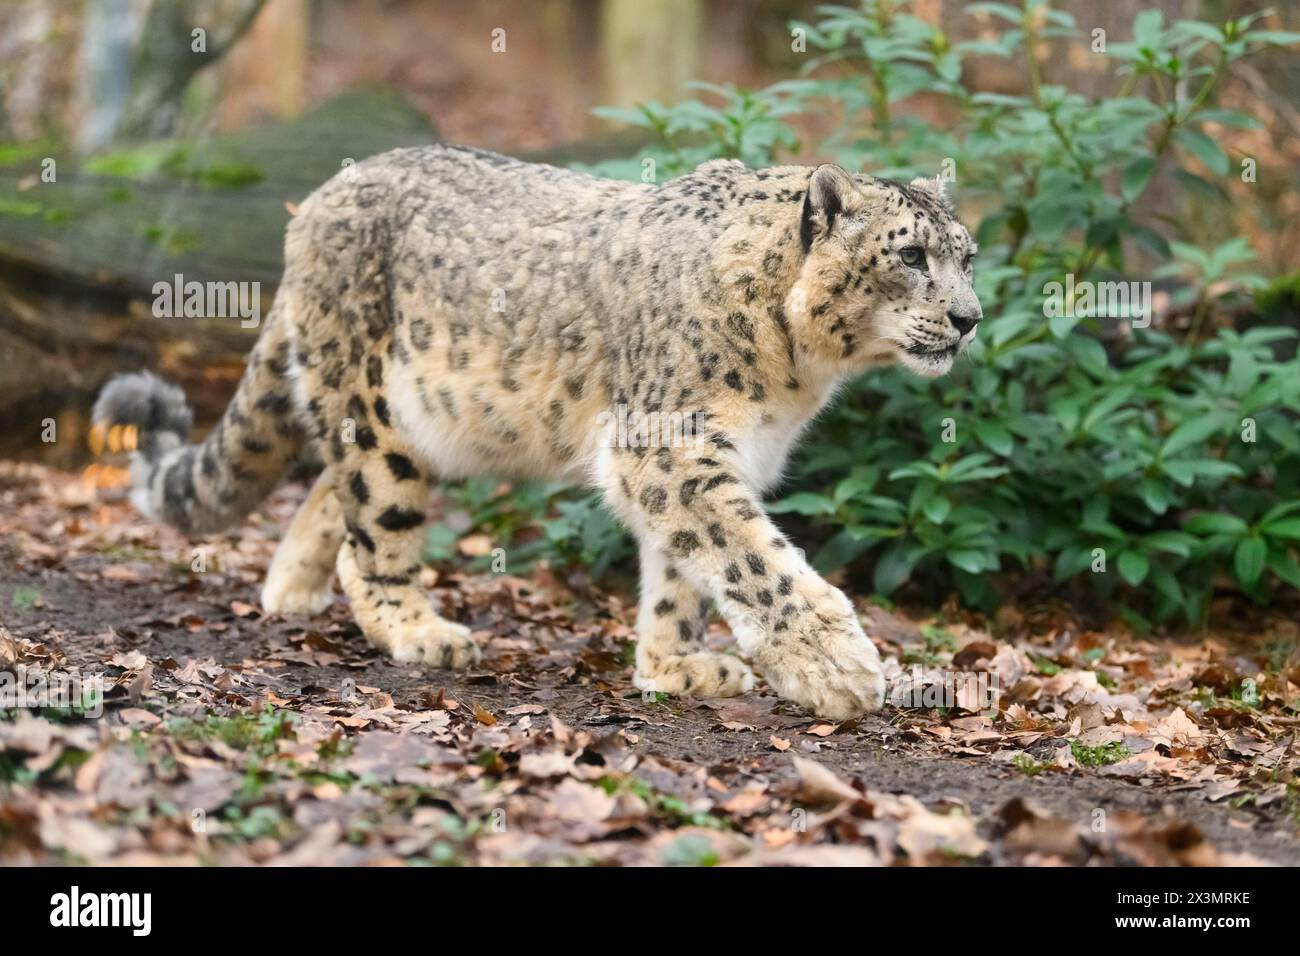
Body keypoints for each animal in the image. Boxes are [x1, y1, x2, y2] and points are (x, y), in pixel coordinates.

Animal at [93, 144, 981, 720]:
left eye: (967, 256)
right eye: (910, 255)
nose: (971, 318)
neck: (799, 371)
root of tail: (313, 203)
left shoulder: (718, 457)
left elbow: (686, 565)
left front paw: (674, 666)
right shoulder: (669, 445)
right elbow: (750, 555)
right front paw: (836, 667)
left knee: (331, 497)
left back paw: (294, 590)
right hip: (375, 410)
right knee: (373, 523)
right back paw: (421, 631)